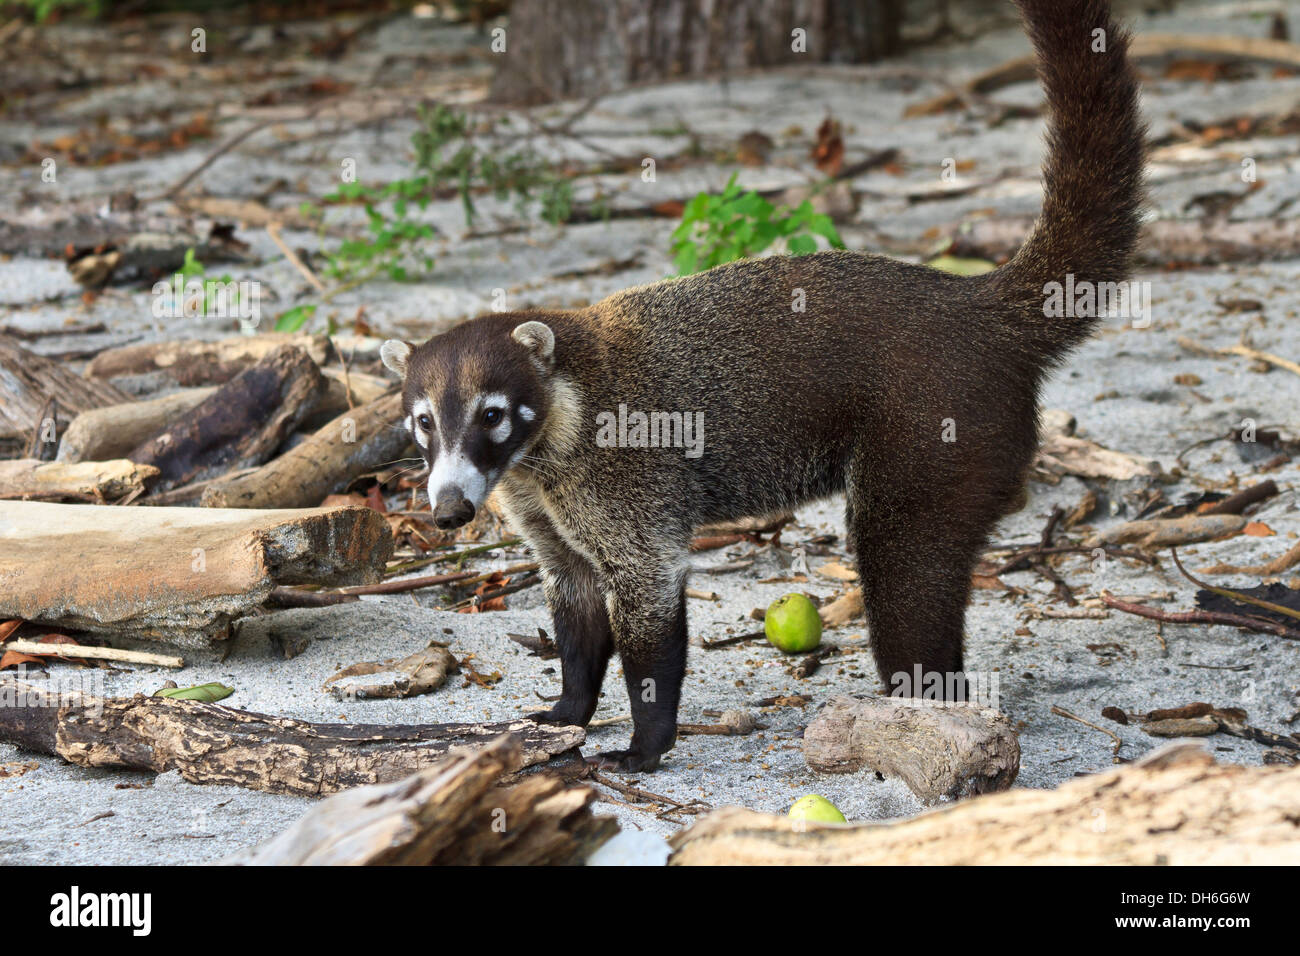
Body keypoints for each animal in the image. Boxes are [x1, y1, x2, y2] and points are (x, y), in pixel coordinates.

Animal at [382, 0, 1145, 771]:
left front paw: (645, 743)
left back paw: (923, 713)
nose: (449, 513)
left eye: (493, 414)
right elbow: (575, 609)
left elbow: (650, 607)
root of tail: (978, 304)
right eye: (424, 422)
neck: (544, 442)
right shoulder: (546, 517)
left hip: (935, 442)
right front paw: (567, 711)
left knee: (905, 567)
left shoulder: (628, 487)